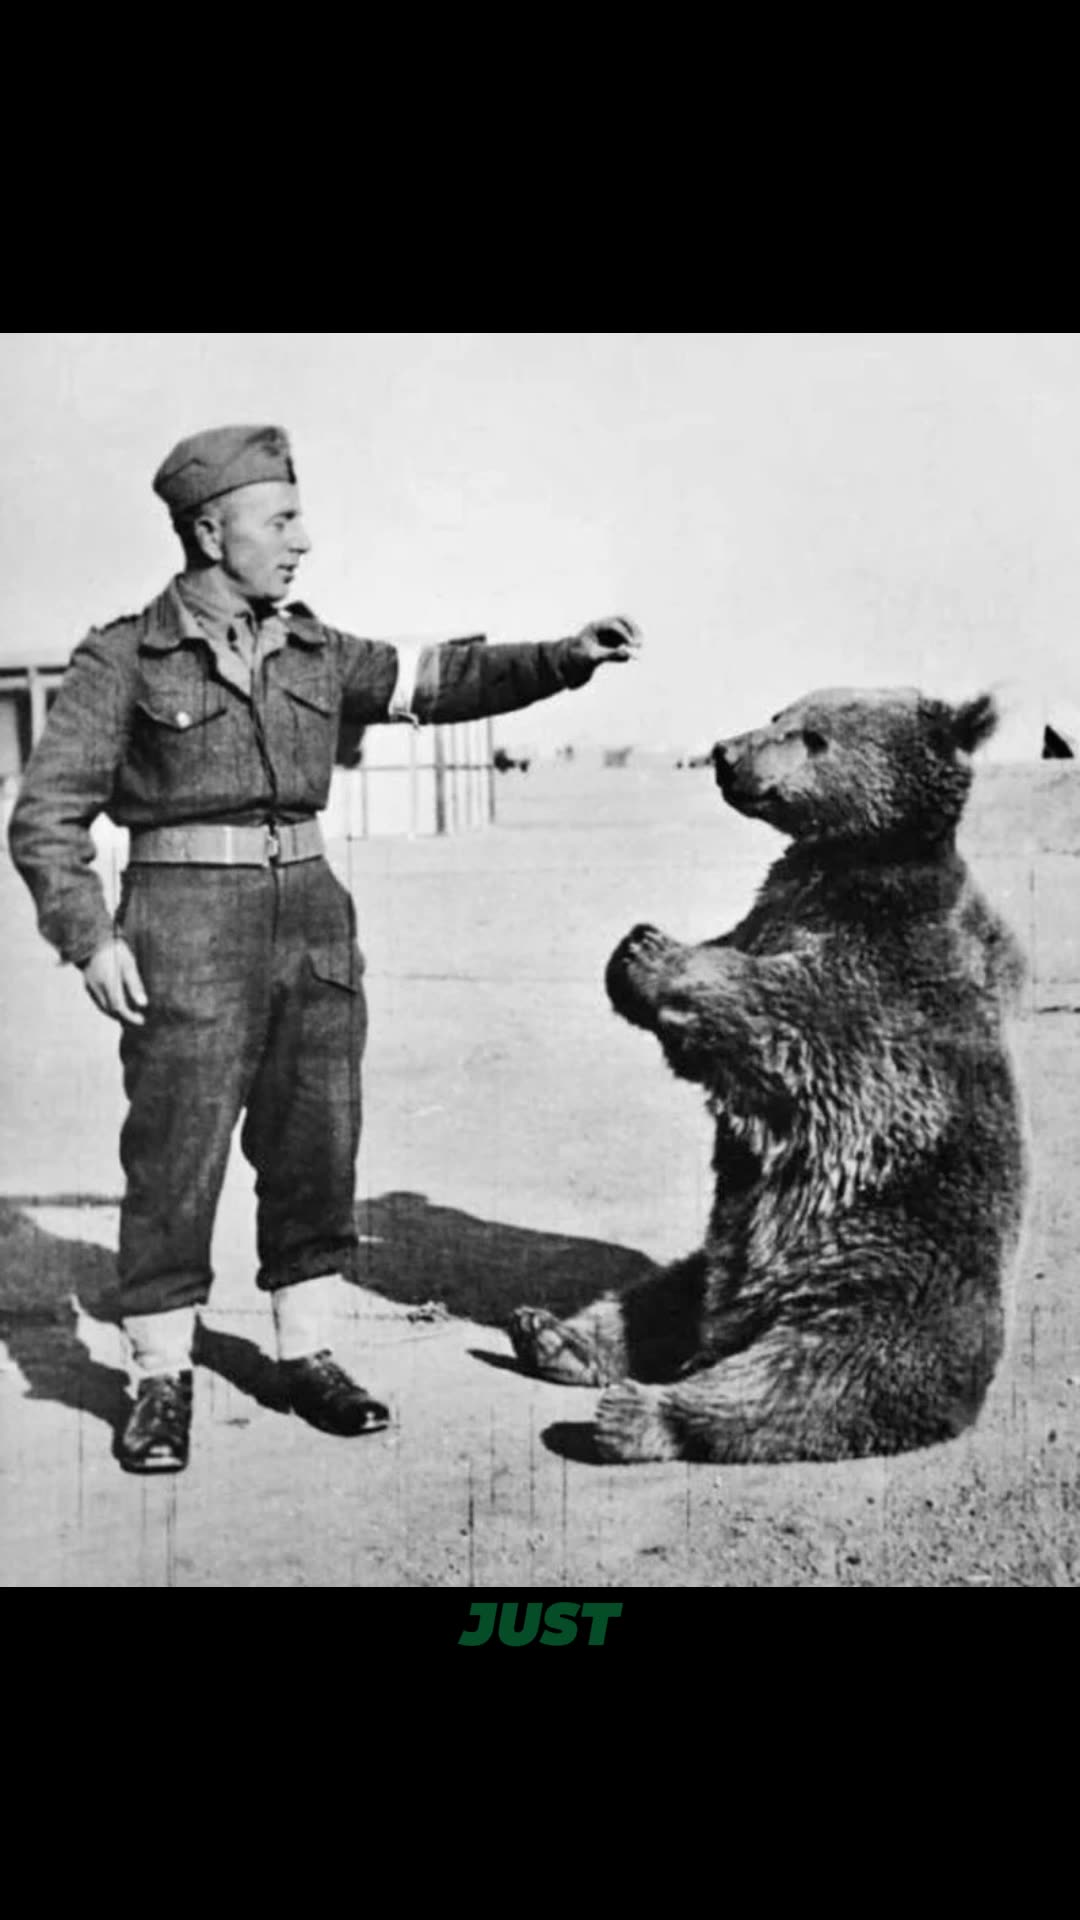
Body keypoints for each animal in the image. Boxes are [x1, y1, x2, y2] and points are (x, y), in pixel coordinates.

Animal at [508, 685, 1029, 1465]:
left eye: (814, 735)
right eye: (781, 712)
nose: (726, 752)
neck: (851, 859)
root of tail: (737, 1322)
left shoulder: (882, 967)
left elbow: (785, 1016)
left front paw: (656, 953)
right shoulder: (773, 907)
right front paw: (634, 945)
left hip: (880, 1280)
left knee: (808, 1377)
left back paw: (637, 1415)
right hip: (715, 1261)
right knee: (655, 1296)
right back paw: (551, 1334)